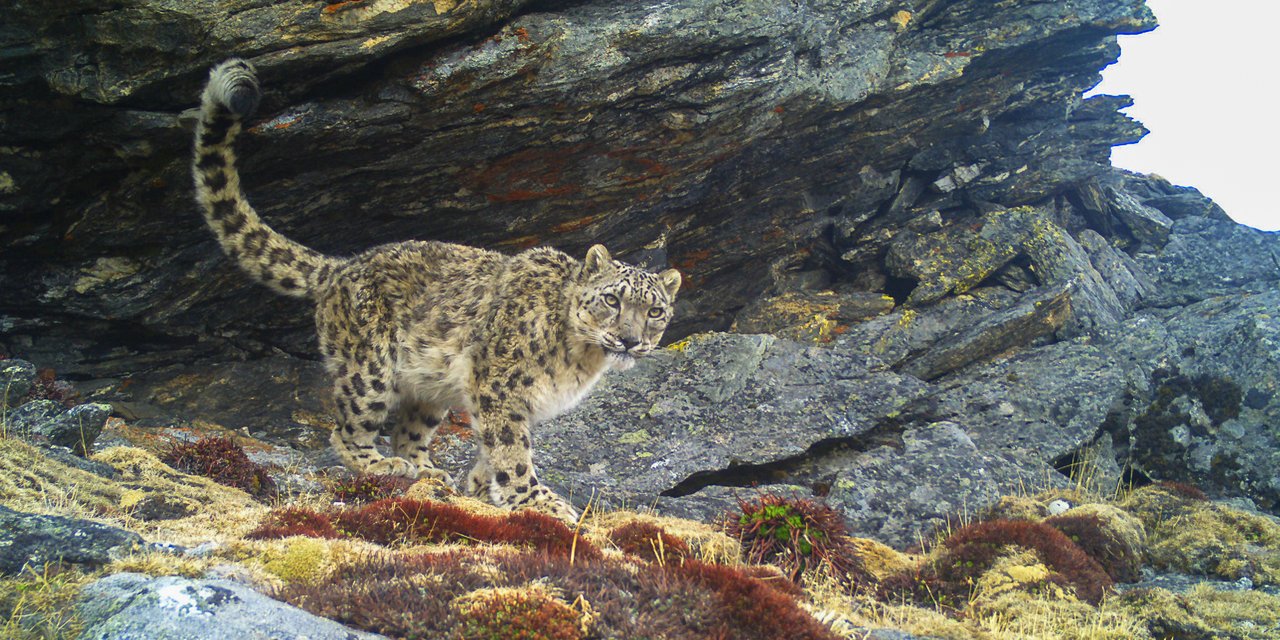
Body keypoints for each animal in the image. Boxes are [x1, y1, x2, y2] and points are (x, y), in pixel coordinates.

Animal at [191, 58, 681, 521]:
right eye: (613, 299)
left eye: (655, 311)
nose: (630, 340)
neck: (581, 361)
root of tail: (342, 265)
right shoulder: (499, 387)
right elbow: (511, 448)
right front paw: (537, 501)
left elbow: (492, 448)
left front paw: (482, 487)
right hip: (371, 367)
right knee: (349, 426)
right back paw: (381, 464)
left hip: (430, 389)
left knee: (408, 432)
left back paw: (428, 471)